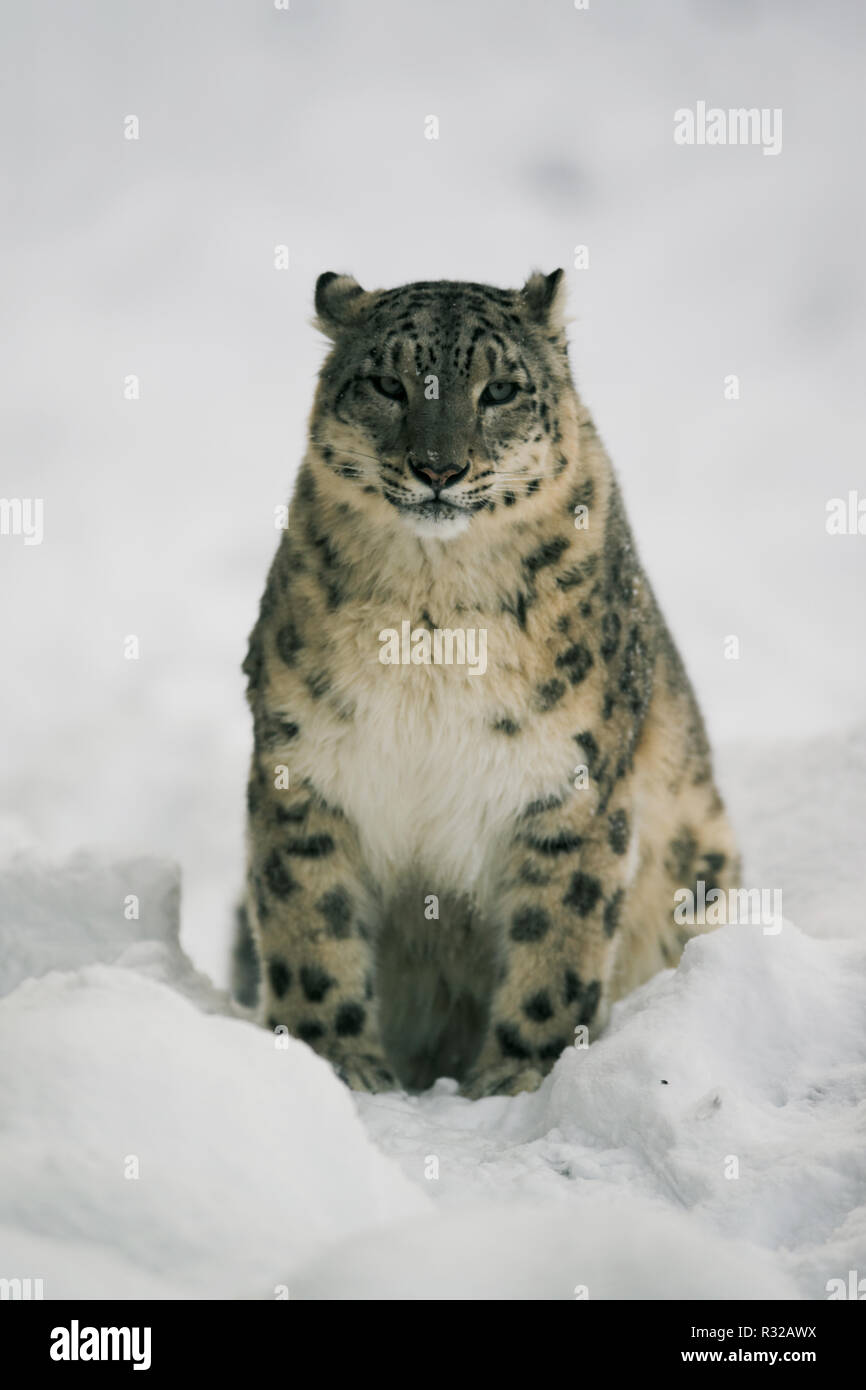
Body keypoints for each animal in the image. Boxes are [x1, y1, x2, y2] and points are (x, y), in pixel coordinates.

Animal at [232, 268, 740, 1098]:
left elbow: (559, 939)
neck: (433, 614)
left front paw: (517, 1078)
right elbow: (312, 925)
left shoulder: (570, 784)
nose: (438, 469)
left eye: (500, 389)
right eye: (387, 383)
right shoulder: (301, 765)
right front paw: (337, 1064)